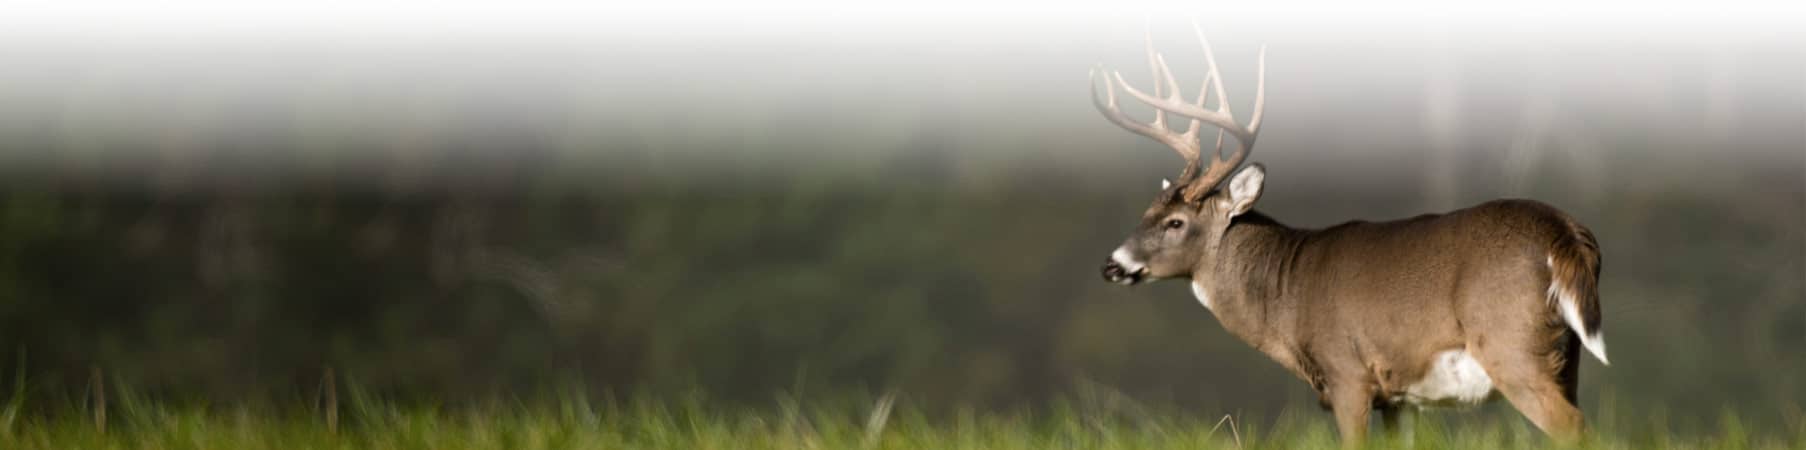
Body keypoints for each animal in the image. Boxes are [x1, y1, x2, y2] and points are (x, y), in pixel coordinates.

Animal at [1091, 24, 1608, 446]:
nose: (1112, 264)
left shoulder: (1348, 374)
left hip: (1513, 345)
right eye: (1147, 211)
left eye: (1176, 222)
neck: (1286, 294)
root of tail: (1565, 233)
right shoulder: (1399, 397)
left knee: (1573, 427)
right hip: (1568, 357)